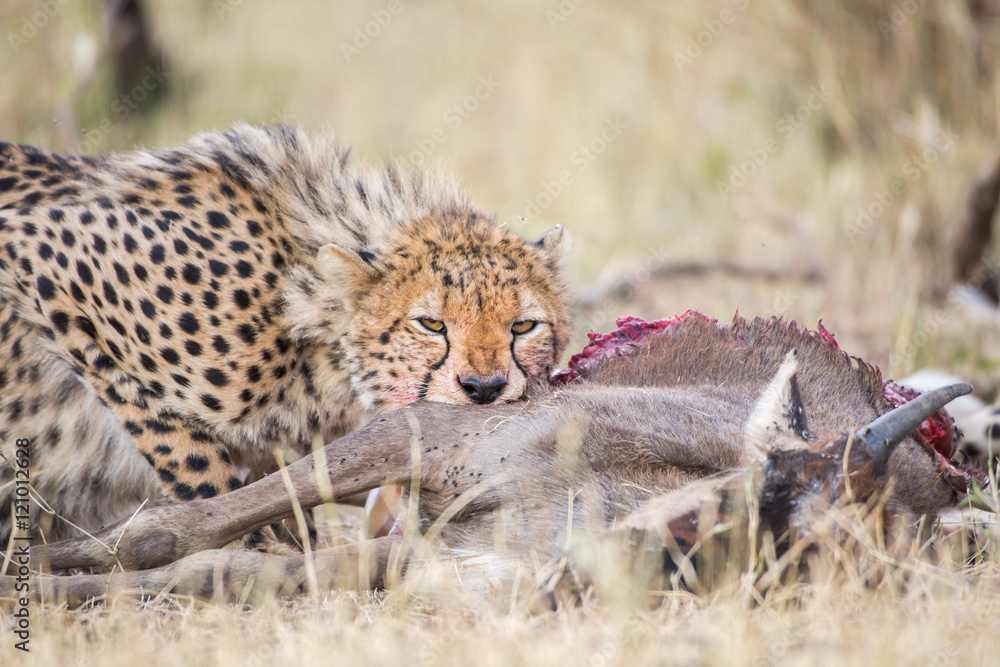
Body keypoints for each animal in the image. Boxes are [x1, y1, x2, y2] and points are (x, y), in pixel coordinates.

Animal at [0, 124, 572, 545]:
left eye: (523, 326)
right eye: (431, 324)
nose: (485, 389)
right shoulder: (38, 247)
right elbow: (193, 459)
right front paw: (255, 560)